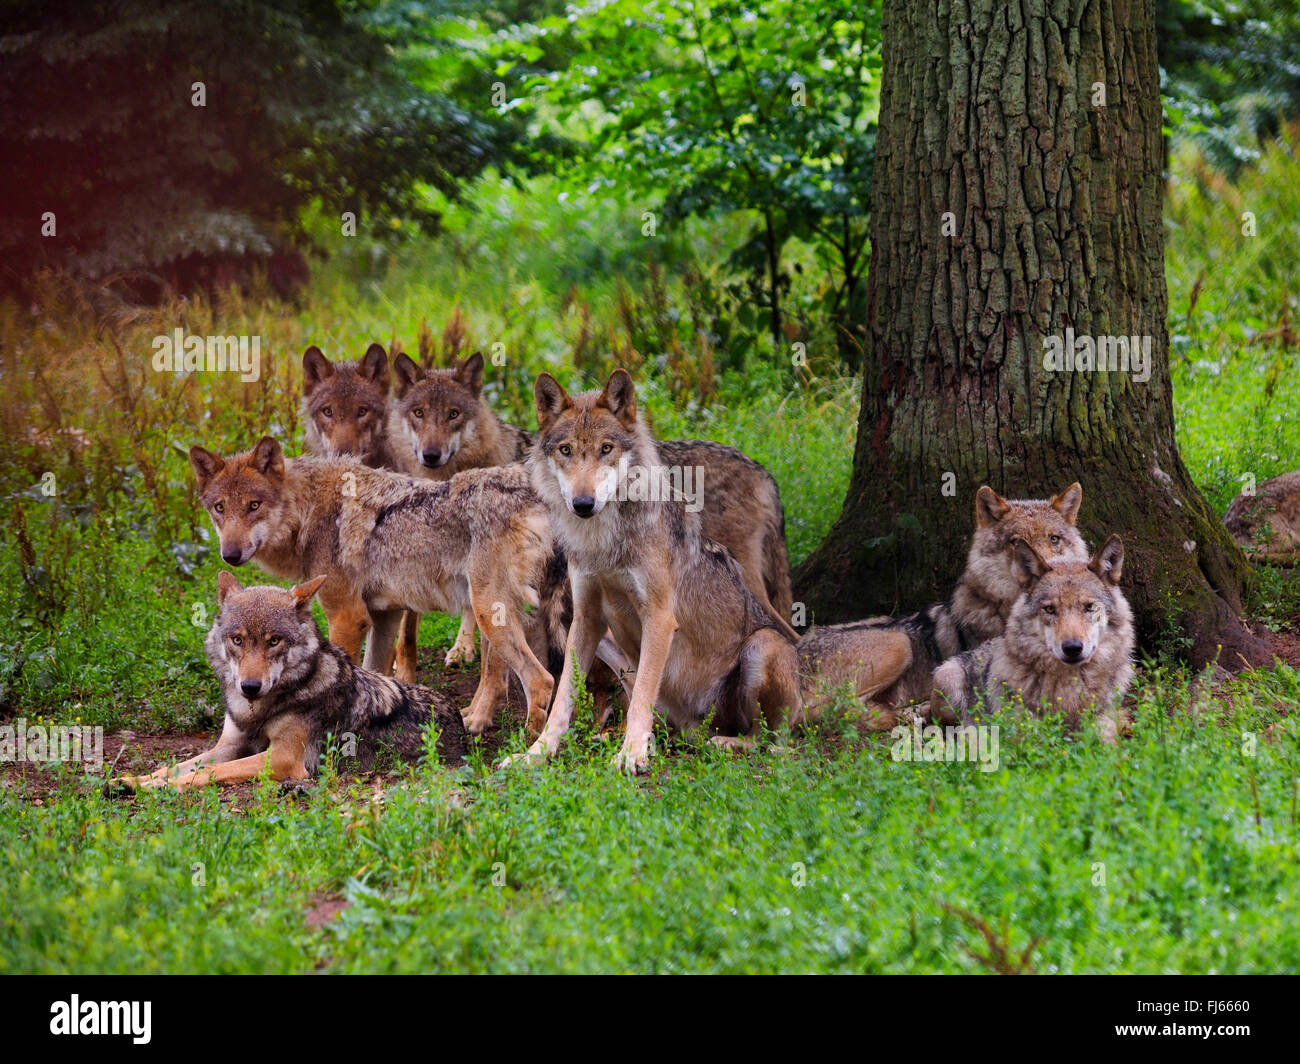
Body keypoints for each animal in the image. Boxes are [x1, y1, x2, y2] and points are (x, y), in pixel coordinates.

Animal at [111, 573, 467, 792]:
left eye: (274, 641)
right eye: (238, 640)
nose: (250, 687)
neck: (258, 710)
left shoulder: (282, 759)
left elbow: (207, 773)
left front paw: (154, 788)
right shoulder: (227, 746)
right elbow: (174, 766)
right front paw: (131, 780)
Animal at [187, 436, 558, 738]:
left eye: (253, 506)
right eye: (220, 508)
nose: (230, 555)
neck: (308, 512)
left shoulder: (348, 617)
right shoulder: (385, 616)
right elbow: (375, 672)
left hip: (488, 613)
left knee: (541, 680)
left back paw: (527, 748)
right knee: (499, 677)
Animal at [511, 369, 803, 774]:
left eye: (606, 449)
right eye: (566, 450)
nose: (583, 503)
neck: (605, 543)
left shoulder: (660, 619)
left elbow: (641, 698)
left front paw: (631, 755)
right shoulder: (586, 619)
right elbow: (564, 697)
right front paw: (537, 752)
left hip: (763, 644)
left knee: (774, 741)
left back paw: (725, 742)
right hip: (612, 647)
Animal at [930, 534, 1135, 743]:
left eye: (1089, 607)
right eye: (1050, 609)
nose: (1072, 647)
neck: (1069, 688)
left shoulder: (1104, 732)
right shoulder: (1024, 739)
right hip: (948, 677)